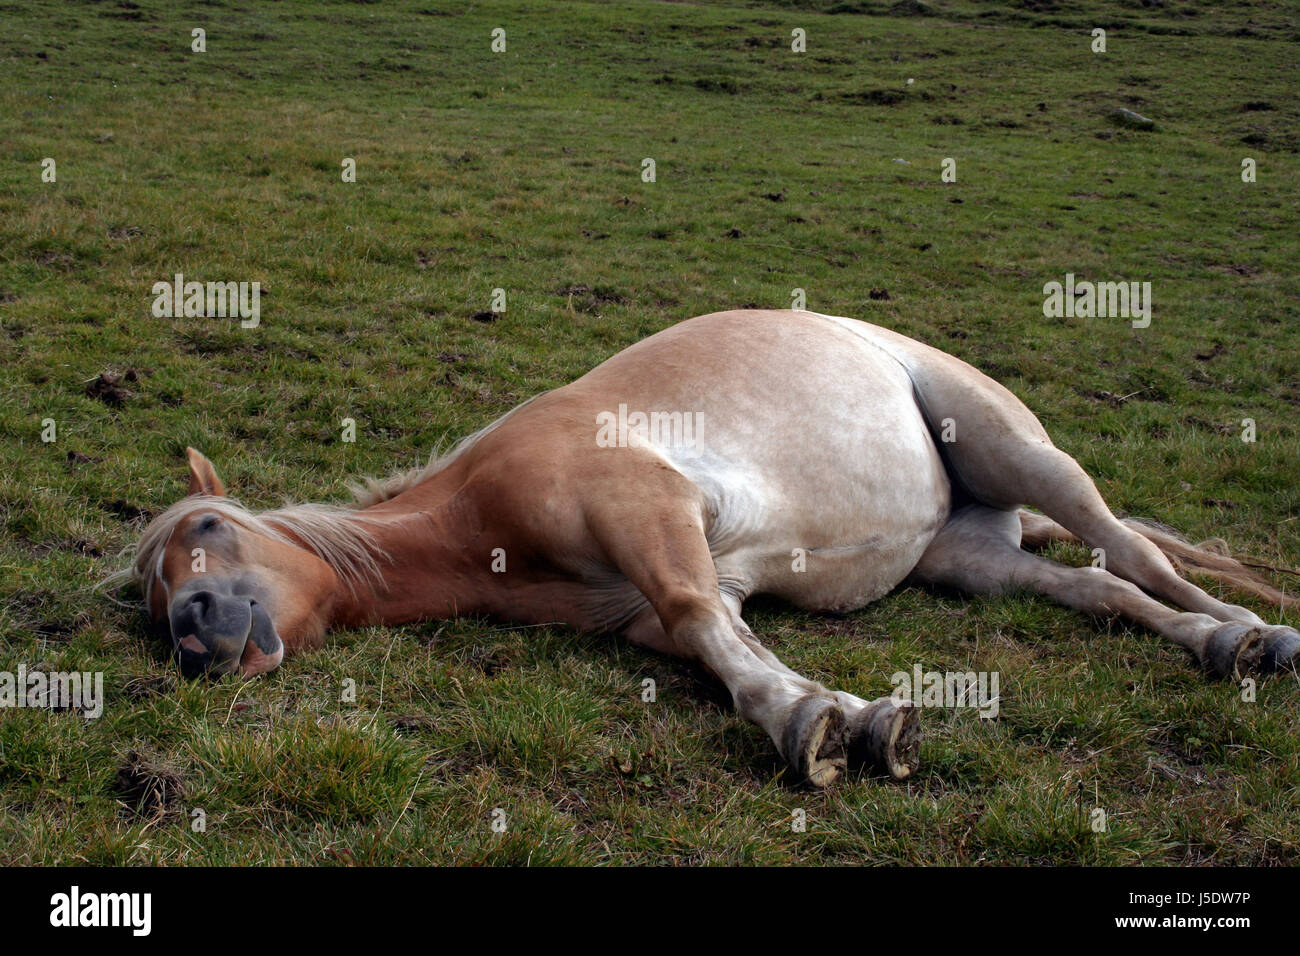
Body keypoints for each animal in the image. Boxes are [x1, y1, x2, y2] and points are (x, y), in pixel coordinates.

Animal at [123, 309, 1299, 787]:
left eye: (208, 528)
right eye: (152, 592)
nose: (193, 628)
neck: (478, 520)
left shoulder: (657, 517)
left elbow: (709, 627)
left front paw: (820, 725)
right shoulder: (668, 595)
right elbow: (719, 643)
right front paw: (836, 713)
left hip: (1018, 451)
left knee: (1130, 553)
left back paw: (1252, 634)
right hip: (971, 560)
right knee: (1103, 593)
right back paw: (1216, 645)